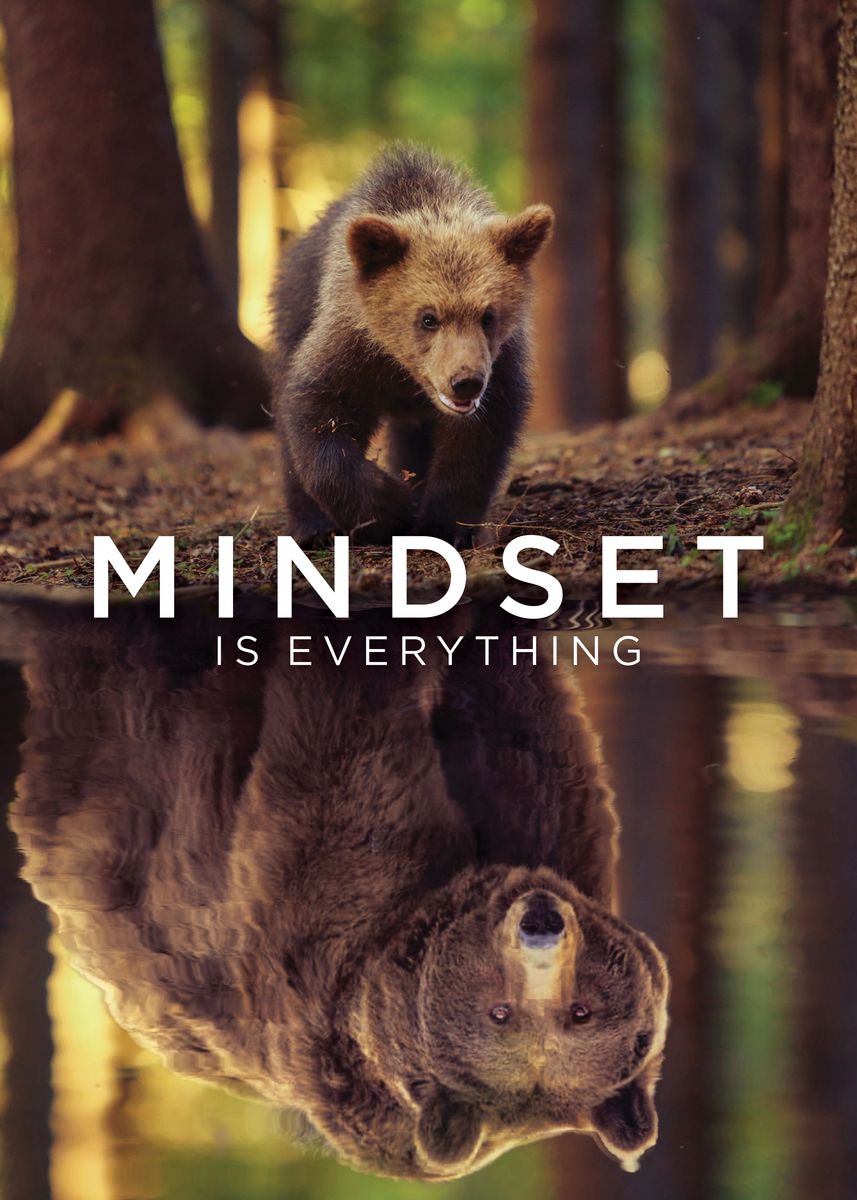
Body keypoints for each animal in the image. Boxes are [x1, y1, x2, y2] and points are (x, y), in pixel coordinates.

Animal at [270, 145, 555, 546]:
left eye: (488, 315)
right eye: (427, 317)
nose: (465, 381)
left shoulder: (501, 364)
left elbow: (477, 443)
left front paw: (445, 523)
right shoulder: (351, 347)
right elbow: (319, 412)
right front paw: (389, 509)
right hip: (293, 309)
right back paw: (312, 526)